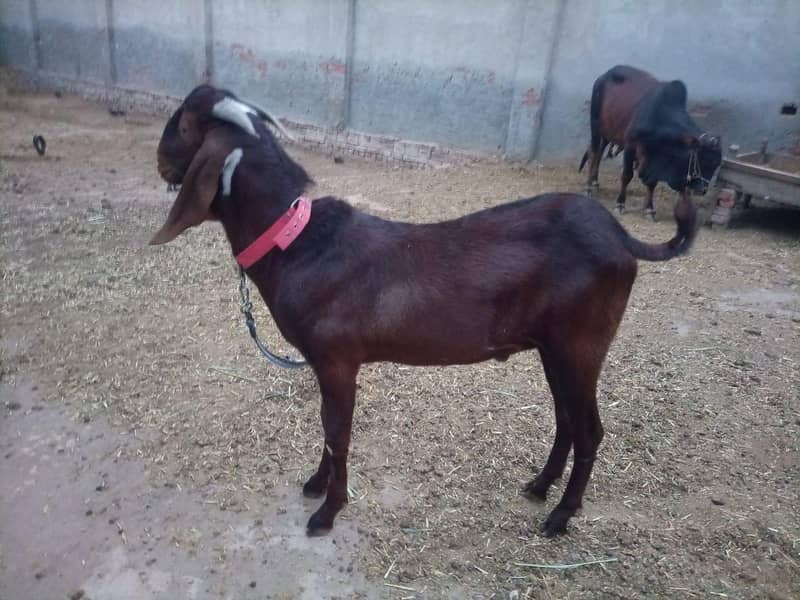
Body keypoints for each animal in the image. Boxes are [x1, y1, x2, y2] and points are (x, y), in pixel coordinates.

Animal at [150, 85, 699, 537]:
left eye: (183, 125)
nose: (159, 163)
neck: (299, 241)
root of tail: (620, 237)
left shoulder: (337, 360)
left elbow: (337, 432)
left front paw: (326, 512)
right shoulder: (325, 364)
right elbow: (329, 431)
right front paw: (315, 486)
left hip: (582, 342)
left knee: (589, 428)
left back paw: (560, 517)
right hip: (553, 347)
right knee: (565, 418)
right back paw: (538, 488)